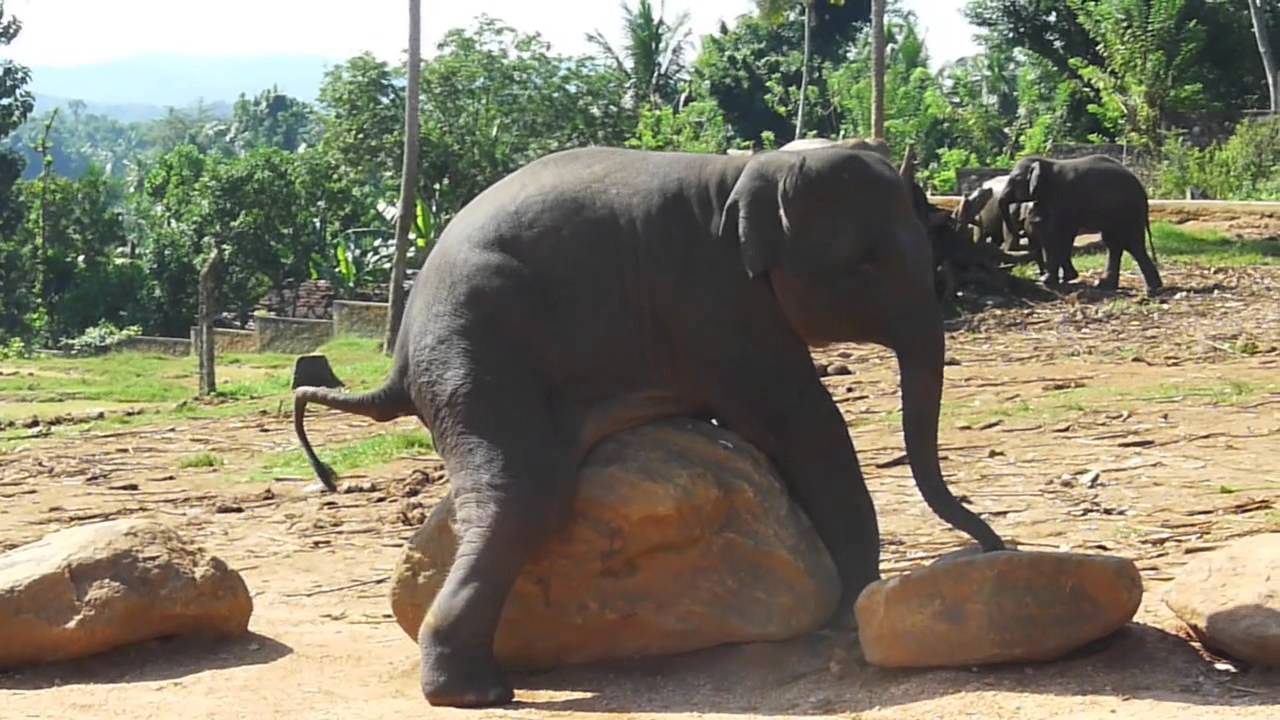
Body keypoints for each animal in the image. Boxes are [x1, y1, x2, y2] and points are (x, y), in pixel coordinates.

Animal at [292, 144, 1005, 707]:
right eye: (865, 260)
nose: (993, 545)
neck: (751, 171)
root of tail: (401, 352)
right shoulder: (715, 300)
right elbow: (800, 417)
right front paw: (852, 599)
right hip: (476, 348)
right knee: (522, 493)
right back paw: (475, 692)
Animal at [997, 154, 1162, 293]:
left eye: (1015, 179)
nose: (1021, 232)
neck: (1046, 163)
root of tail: (1142, 190)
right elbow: (1059, 234)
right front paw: (1067, 278)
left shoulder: (1062, 198)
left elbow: (1053, 234)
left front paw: (1047, 280)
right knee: (1116, 243)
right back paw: (1107, 285)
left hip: (1127, 211)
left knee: (1130, 243)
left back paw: (1152, 289)